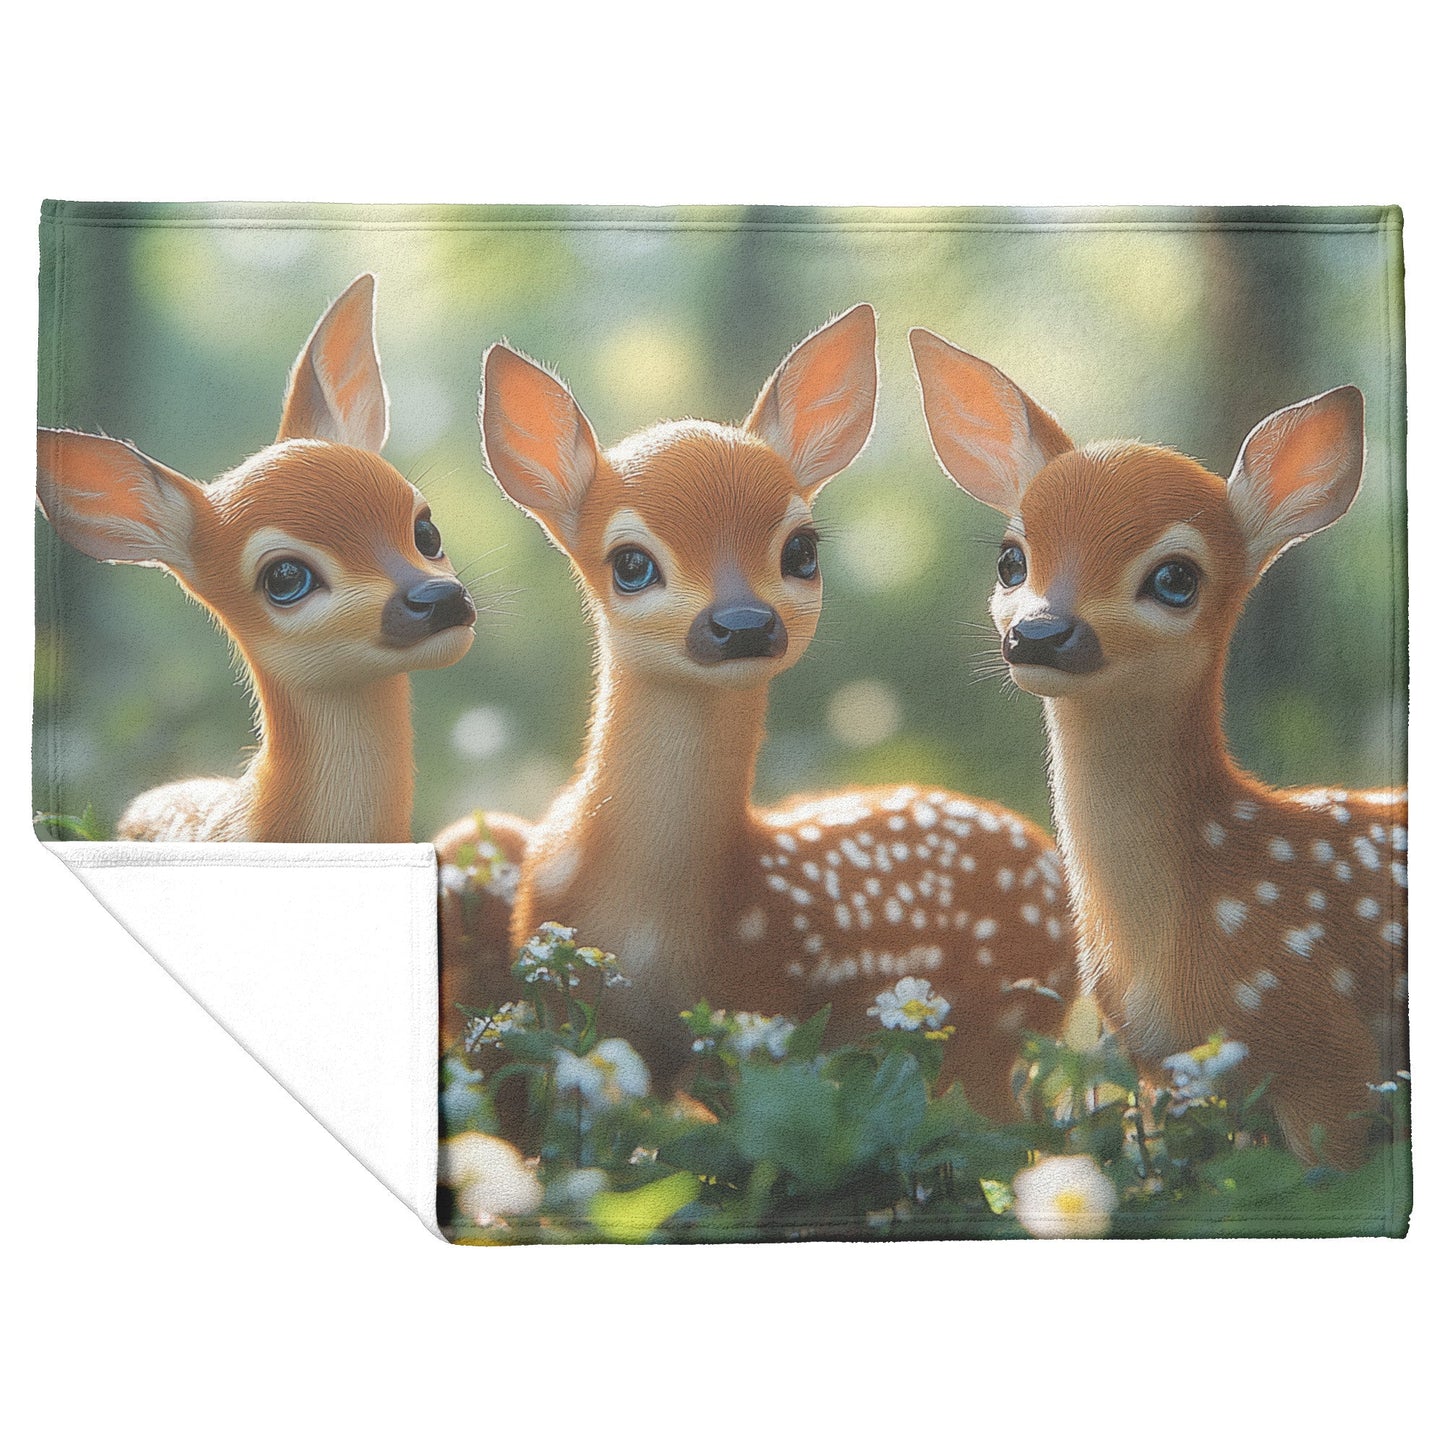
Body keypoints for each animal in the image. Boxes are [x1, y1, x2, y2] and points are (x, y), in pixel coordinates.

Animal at [436, 306, 1077, 1117]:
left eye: (800, 550)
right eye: (630, 563)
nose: (742, 622)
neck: (659, 922)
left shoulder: (758, 1007)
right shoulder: (564, 1012)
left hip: (992, 1034)